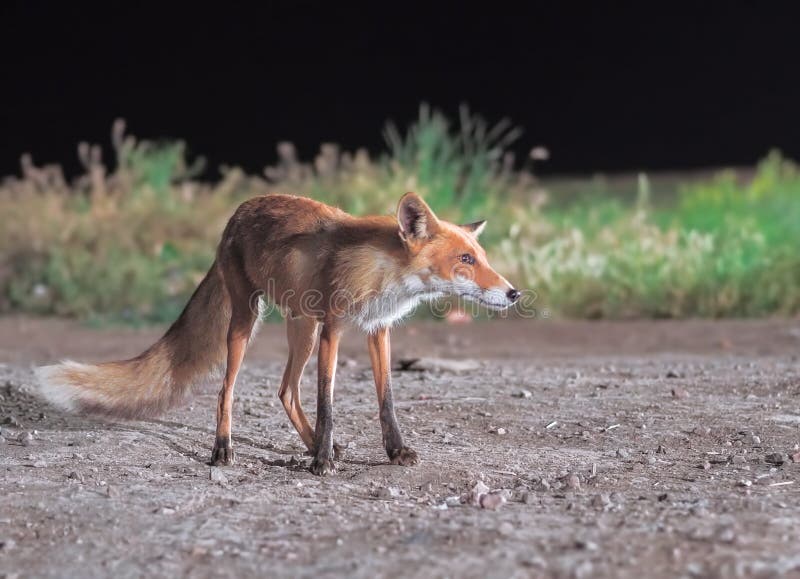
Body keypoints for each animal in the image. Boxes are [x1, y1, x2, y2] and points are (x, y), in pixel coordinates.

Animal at [36, 192, 520, 475]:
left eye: (481, 257)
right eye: (465, 260)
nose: (514, 293)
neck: (385, 274)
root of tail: (239, 210)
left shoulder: (377, 331)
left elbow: (386, 402)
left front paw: (393, 452)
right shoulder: (334, 330)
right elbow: (327, 403)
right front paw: (321, 462)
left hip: (301, 329)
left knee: (285, 390)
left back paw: (311, 445)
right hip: (248, 323)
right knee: (227, 390)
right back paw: (224, 450)